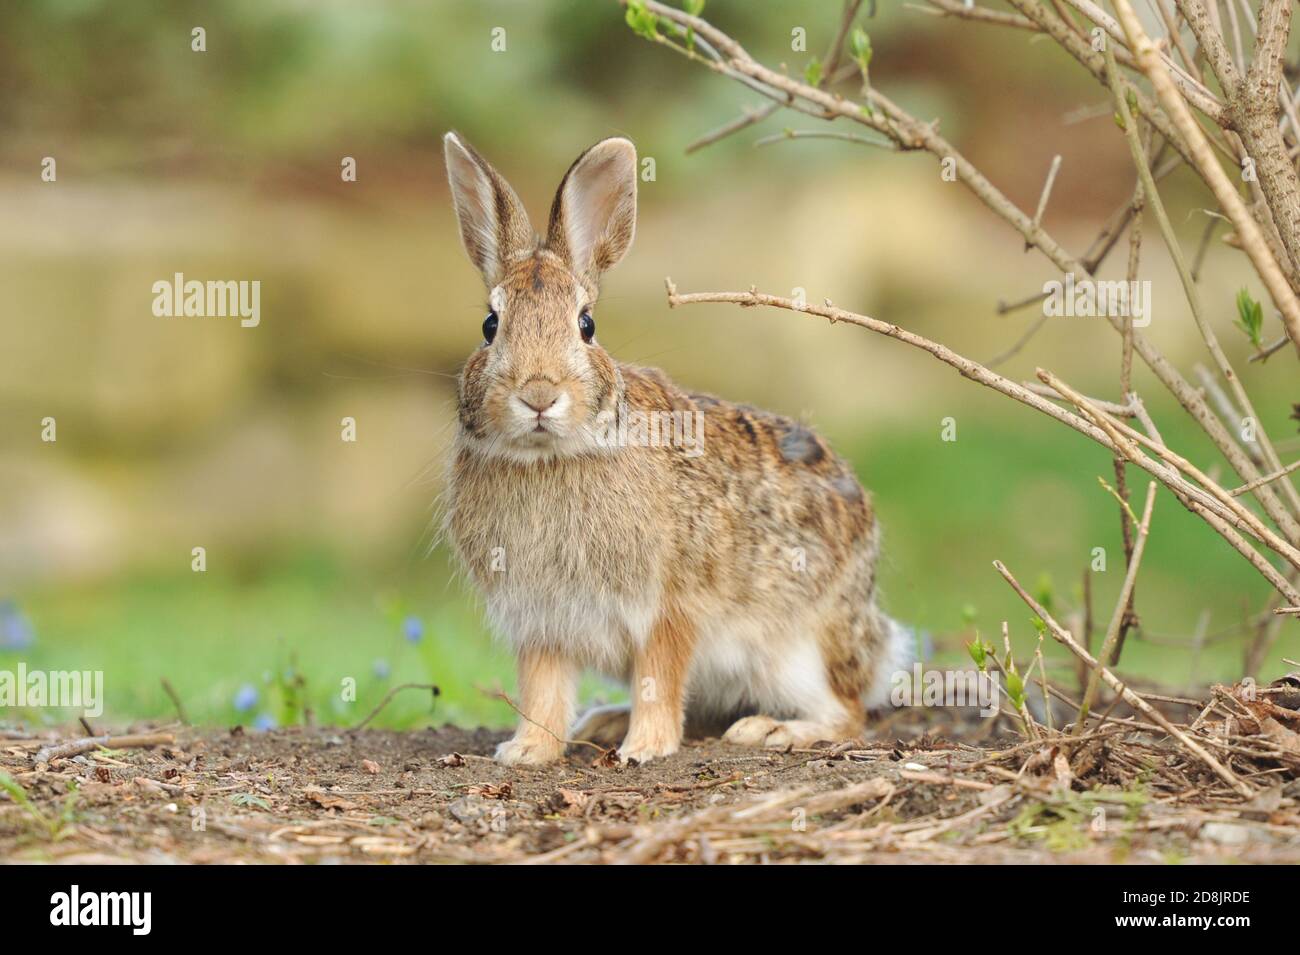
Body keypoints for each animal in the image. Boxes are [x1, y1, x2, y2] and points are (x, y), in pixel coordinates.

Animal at [441, 131, 913, 765]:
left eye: (586, 326)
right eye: (491, 326)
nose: (539, 394)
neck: (551, 456)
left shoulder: (669, 608)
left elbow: (659, 677)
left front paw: (644, 750)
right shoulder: (543, 620)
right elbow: (542, 690)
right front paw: (528, 751)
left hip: (797, 650)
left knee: (849, 713)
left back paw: (772, 731)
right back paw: (604, 721)